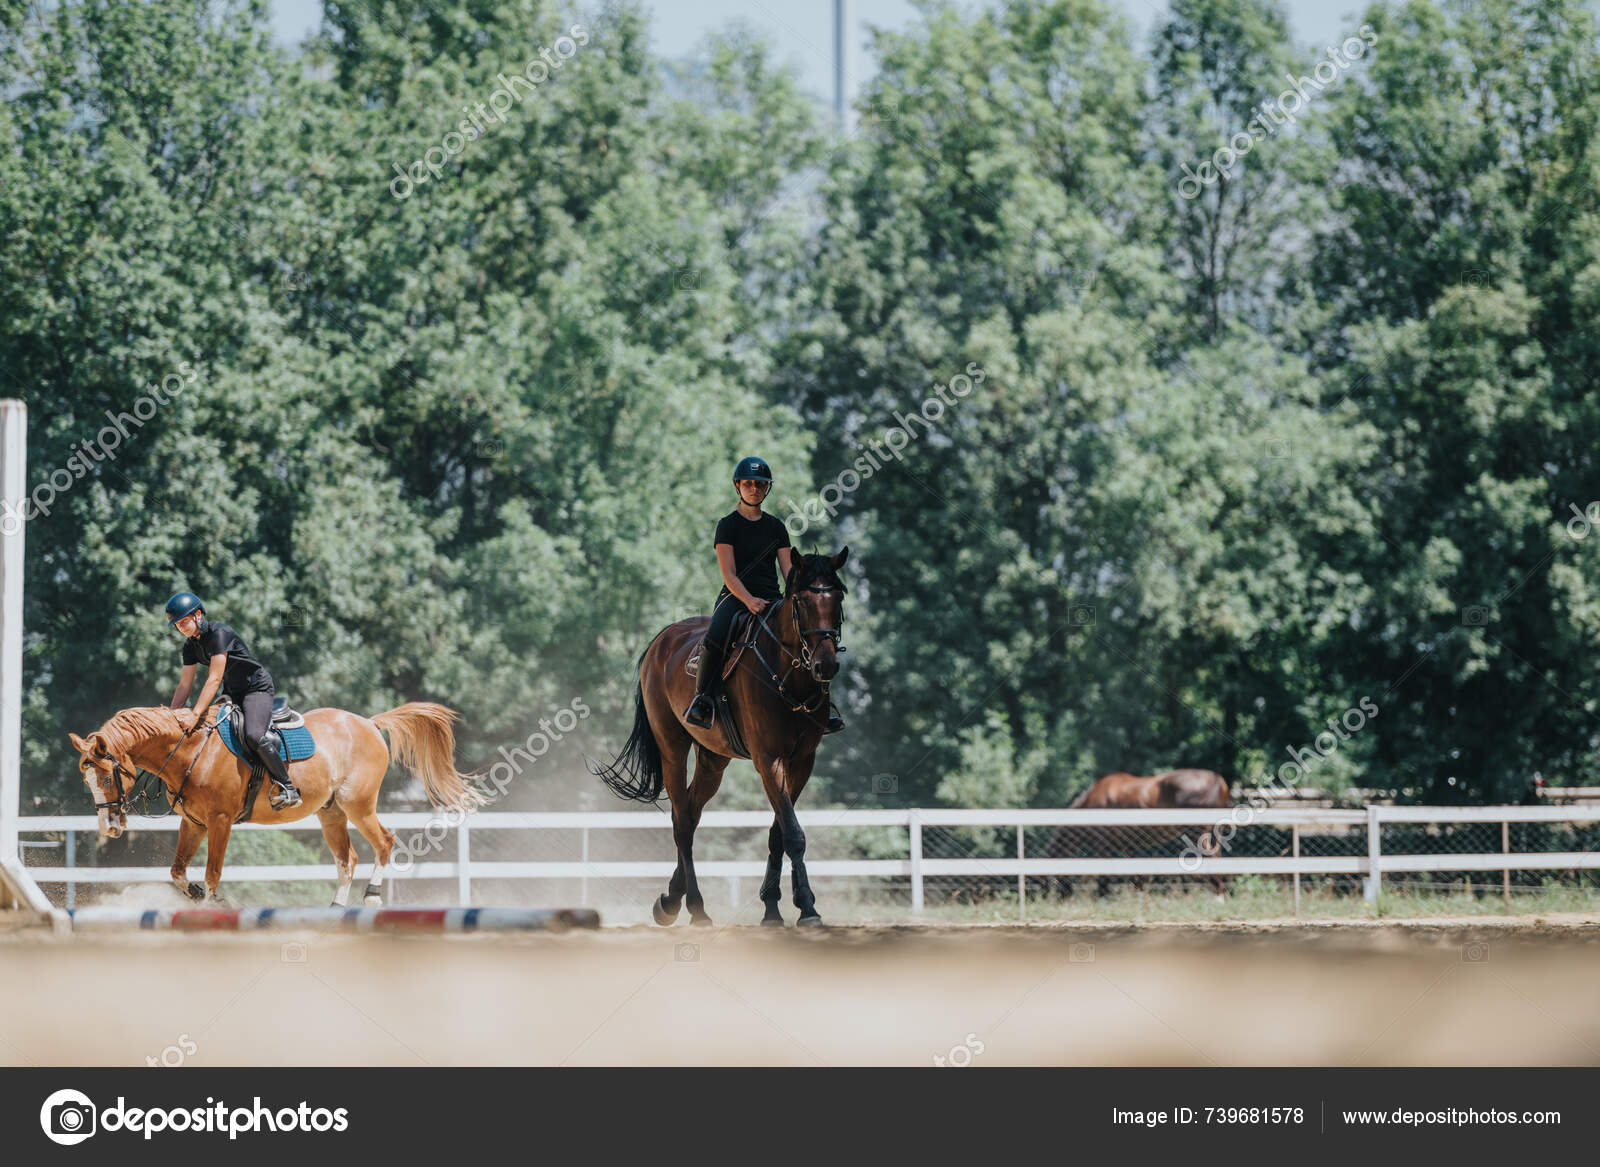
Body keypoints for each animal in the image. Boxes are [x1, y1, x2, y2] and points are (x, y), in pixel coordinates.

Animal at [68, 701, 477, 906]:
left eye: (107, 776)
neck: (189, 751)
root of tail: (368, 723)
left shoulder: (220, 821)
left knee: (385, 843)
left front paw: (214, 905)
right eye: (86, 779)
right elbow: (179, 872)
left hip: (358, 805)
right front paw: (196, 895)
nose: (110, 828)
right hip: (331, 814)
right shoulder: (194, 823)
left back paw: (373, 897)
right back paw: (336, 909)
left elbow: (213, 874)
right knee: (347, 859)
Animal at [589, 548, 849, 927]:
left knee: (691, 812)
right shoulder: (768, 759)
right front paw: (807, 907)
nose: (825, 665)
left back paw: (670, 899)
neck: (788, 674)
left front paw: (772, 908)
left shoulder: (802, 761)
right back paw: (695, 909)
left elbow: (778, 833)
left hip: (714, 759)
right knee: (682, 822)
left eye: (838, 598)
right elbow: (794, 834)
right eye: (801, 601)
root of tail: (661, 640)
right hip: (673, 749)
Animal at [1048, 769, 1231, 899]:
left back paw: (1217, 898)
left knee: (1211, 857)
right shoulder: (1128, 845)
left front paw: (1103, 897)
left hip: (1198, 832)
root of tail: (1217, 780)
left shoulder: (1103, 844)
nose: (1061, 897)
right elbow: (1136, 871)